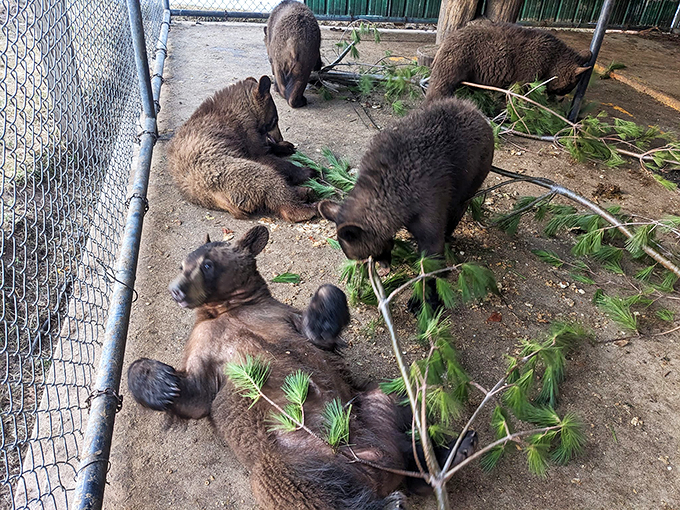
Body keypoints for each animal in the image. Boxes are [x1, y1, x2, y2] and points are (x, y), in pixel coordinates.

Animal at [167, 76, 318, 223]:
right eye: (275, 119)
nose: (280, 137)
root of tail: (216, 198)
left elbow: (266, 147)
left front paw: (285, 146)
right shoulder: (244, 131)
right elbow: (265, 157)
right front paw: (306, 171)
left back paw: (304, 192)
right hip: (229, 173)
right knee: (268, 179)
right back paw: (305, 208)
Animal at [318, 97, 494, 268]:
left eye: (368, 256)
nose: (383, 268)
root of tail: (475, 110)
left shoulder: (429, 199)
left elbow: (432, 243)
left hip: (476, 168)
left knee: (460, 204)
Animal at [426, 22, 592, 101]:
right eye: (568, 87)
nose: (560, 99)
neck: (552, 60)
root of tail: (447, 39)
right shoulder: (531, 64)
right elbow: (518, 90)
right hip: (460, 57)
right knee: (441, 84)